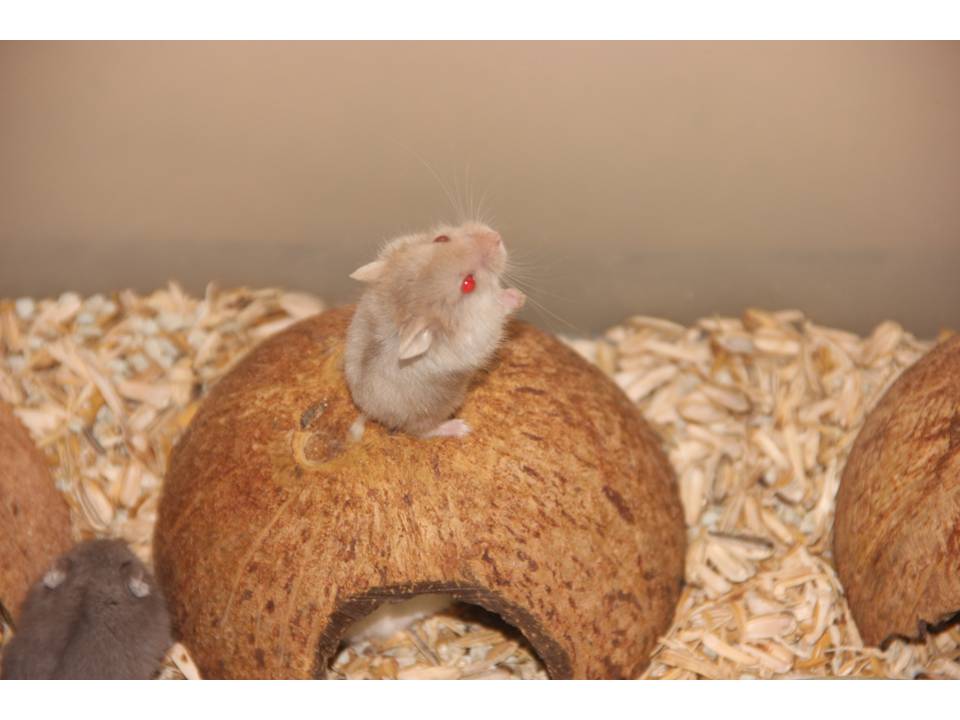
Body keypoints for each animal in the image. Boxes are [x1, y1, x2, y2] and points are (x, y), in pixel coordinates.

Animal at [344, 221, 525, 438]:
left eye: (441, 239)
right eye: (468, 283)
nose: (496, 236)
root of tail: (367, 411)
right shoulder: (483, 328)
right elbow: (499, 308)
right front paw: (519, 296)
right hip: (428, 414)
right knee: (423, 433)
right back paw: (460, 427)